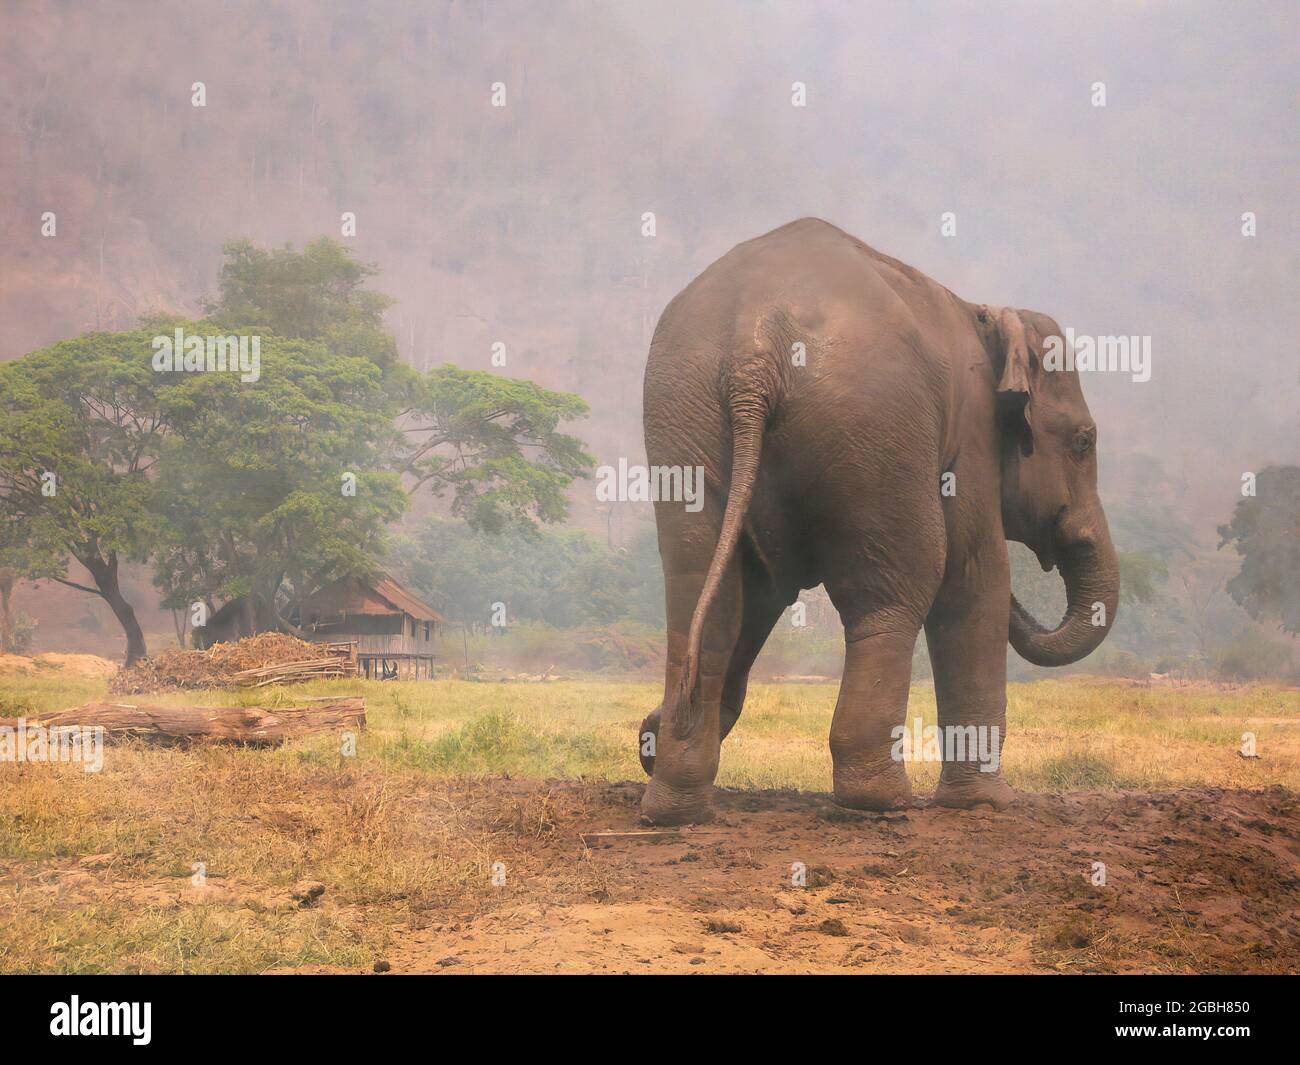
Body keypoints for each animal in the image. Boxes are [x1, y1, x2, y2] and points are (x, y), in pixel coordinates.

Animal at [637, 217, 1119, 825]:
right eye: (1084, 441)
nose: (647, 731)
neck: (983, 312)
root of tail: (754, 351)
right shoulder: (971, 438)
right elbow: (974, 573)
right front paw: (990, 804)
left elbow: (762, 589)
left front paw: (657, 738)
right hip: (875, 425)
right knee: (901, 587)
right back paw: (884, 802)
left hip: (685, 416)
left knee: (704, 587)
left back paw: (675, 807)